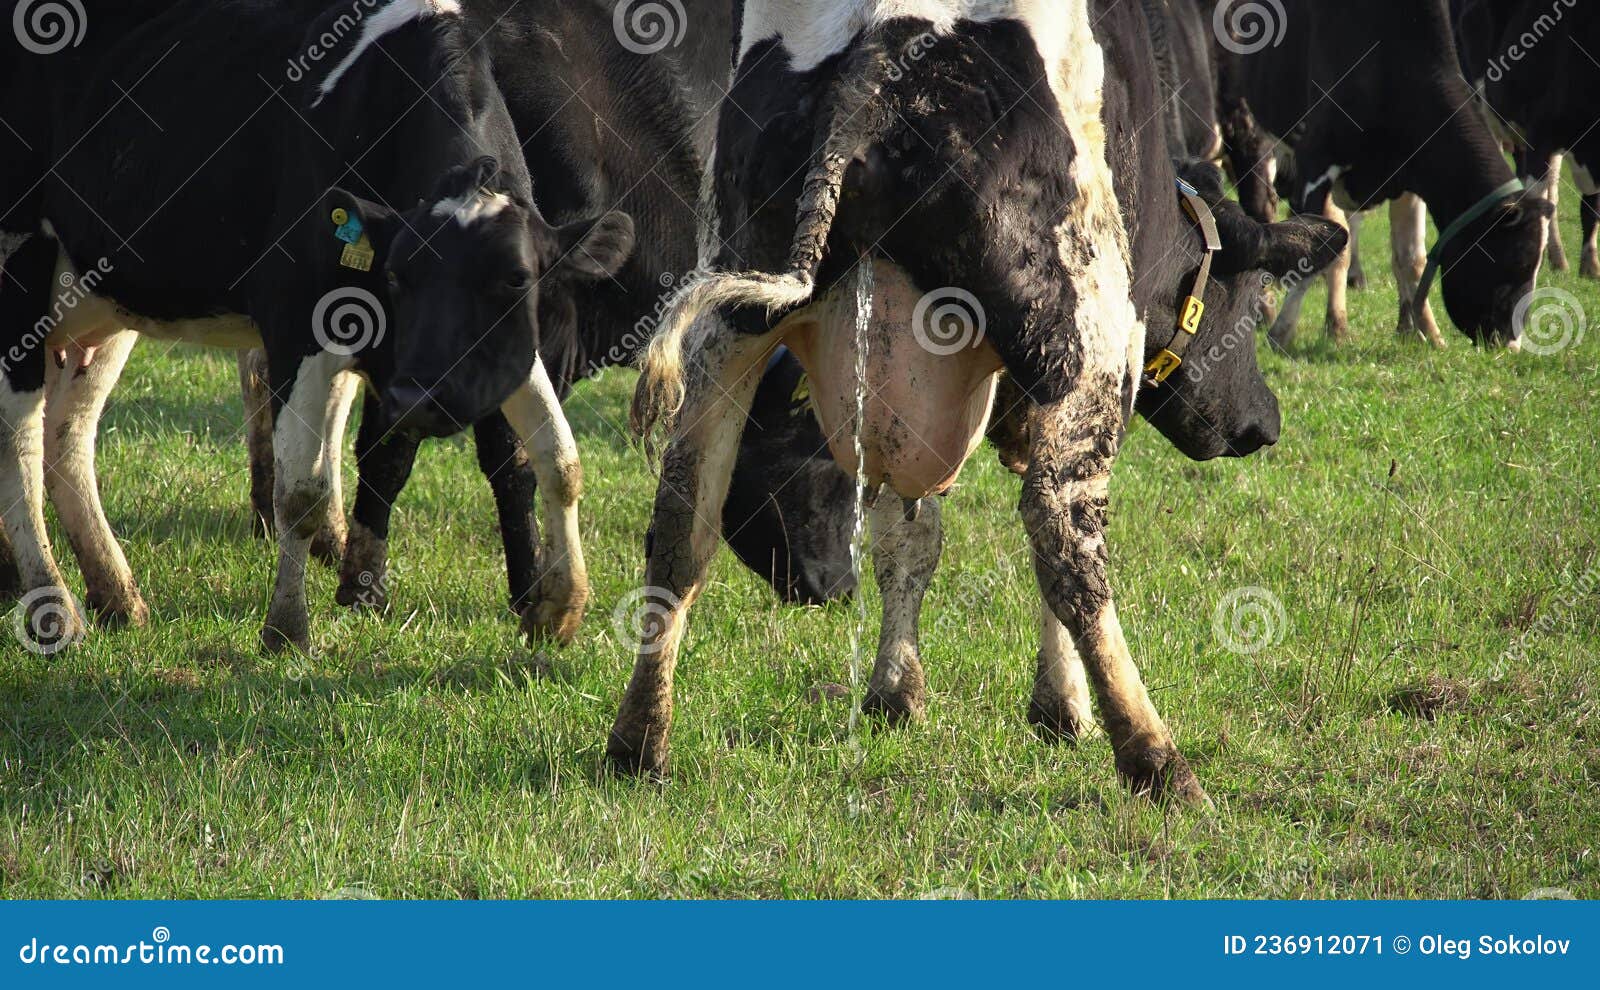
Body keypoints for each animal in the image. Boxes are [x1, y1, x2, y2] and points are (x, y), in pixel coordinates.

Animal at [0, 0, 635, 651]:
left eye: (516, 279)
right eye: (397, 273)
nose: (419, 398)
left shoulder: (506, 351)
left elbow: (559, 458)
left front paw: (560, 609)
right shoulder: (294, 323)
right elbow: (301, 493)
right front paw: (286, 629)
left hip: (102, 297)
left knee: (68, 434)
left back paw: (115, 596)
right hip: (19, 269)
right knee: (18, 439)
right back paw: (52, 604)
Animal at [609, 0, 1346, 804]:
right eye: (1254, 299)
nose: (1265, 424)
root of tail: (881, 51)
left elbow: (909, 539)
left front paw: (895, 695)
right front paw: (1062, 709)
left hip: (726, 326)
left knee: (682, 521)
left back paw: (639, 745)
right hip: (1086, 343)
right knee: (1063, 537)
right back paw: (1157, 760)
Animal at [1215, 0, 1552, 348]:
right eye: (1517, 260)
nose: (1510, 343)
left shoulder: (1409, 179)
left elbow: (1409, 258)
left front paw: (1423, 332)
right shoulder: (1315, 163)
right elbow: (1311, 259)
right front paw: (1280, 335)